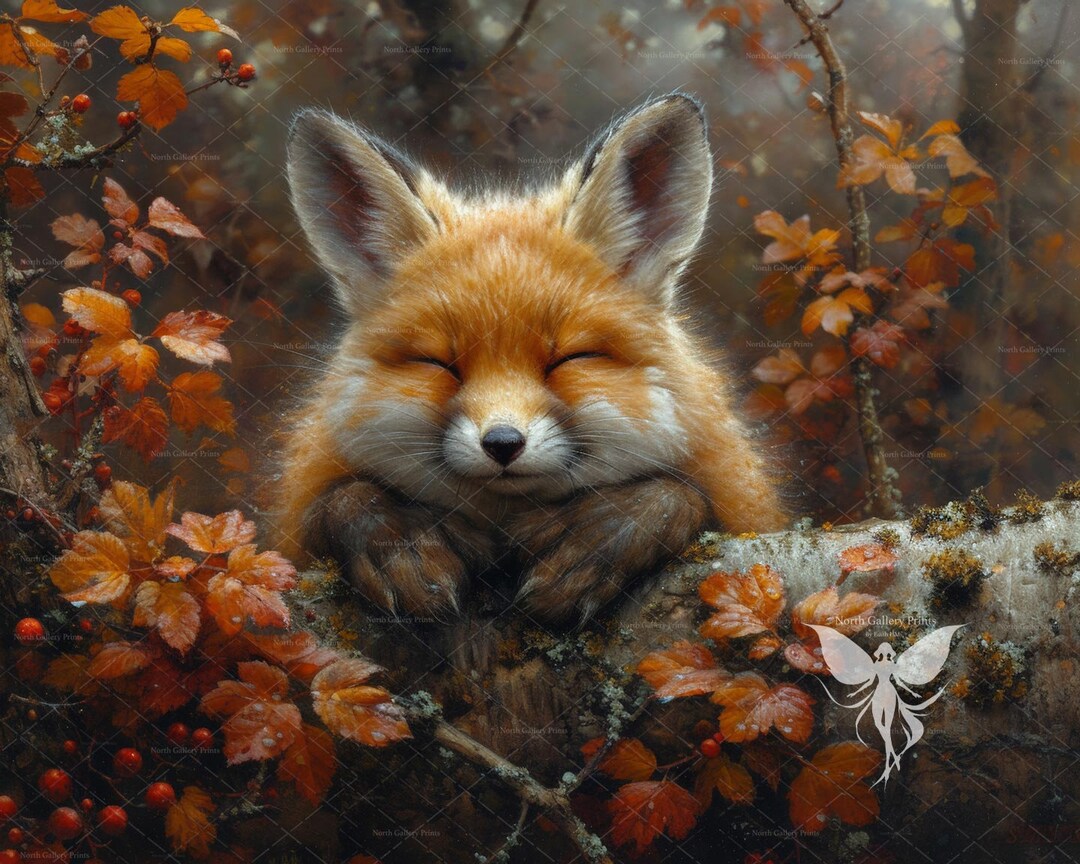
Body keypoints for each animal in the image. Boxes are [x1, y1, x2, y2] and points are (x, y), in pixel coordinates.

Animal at [278, 92, 786, 624]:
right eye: (437, 364)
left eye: (571, 358)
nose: (502, 442)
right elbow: (344, 499)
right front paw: (400, 540)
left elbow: (675, 496)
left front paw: (599, 539)